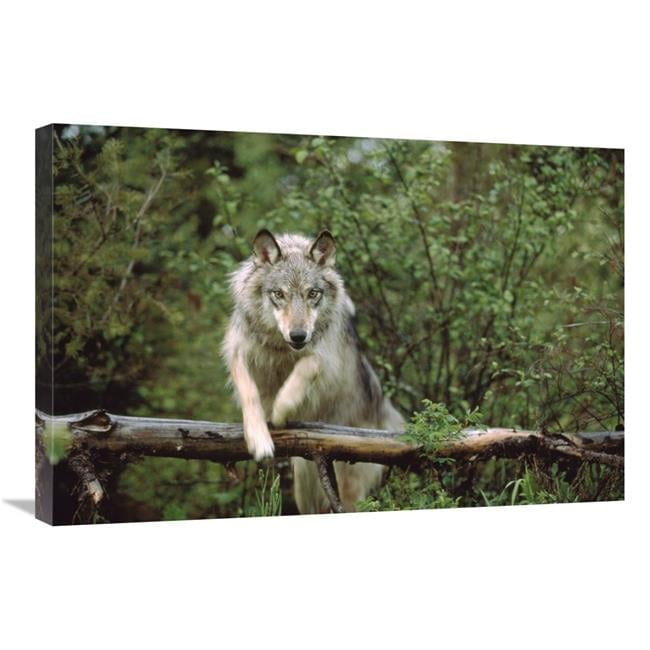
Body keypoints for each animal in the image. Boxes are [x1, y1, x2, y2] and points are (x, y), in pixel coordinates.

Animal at [222, 229, 405, 513]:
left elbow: (304, 370)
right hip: (304, 481)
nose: (298, 336)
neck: (281, 348)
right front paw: (258, 438)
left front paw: (279, 411)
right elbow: (250, 393)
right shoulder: (237, 350)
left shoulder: (325, 357)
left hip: (349, 486)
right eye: (279, 294)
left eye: (313, 293)